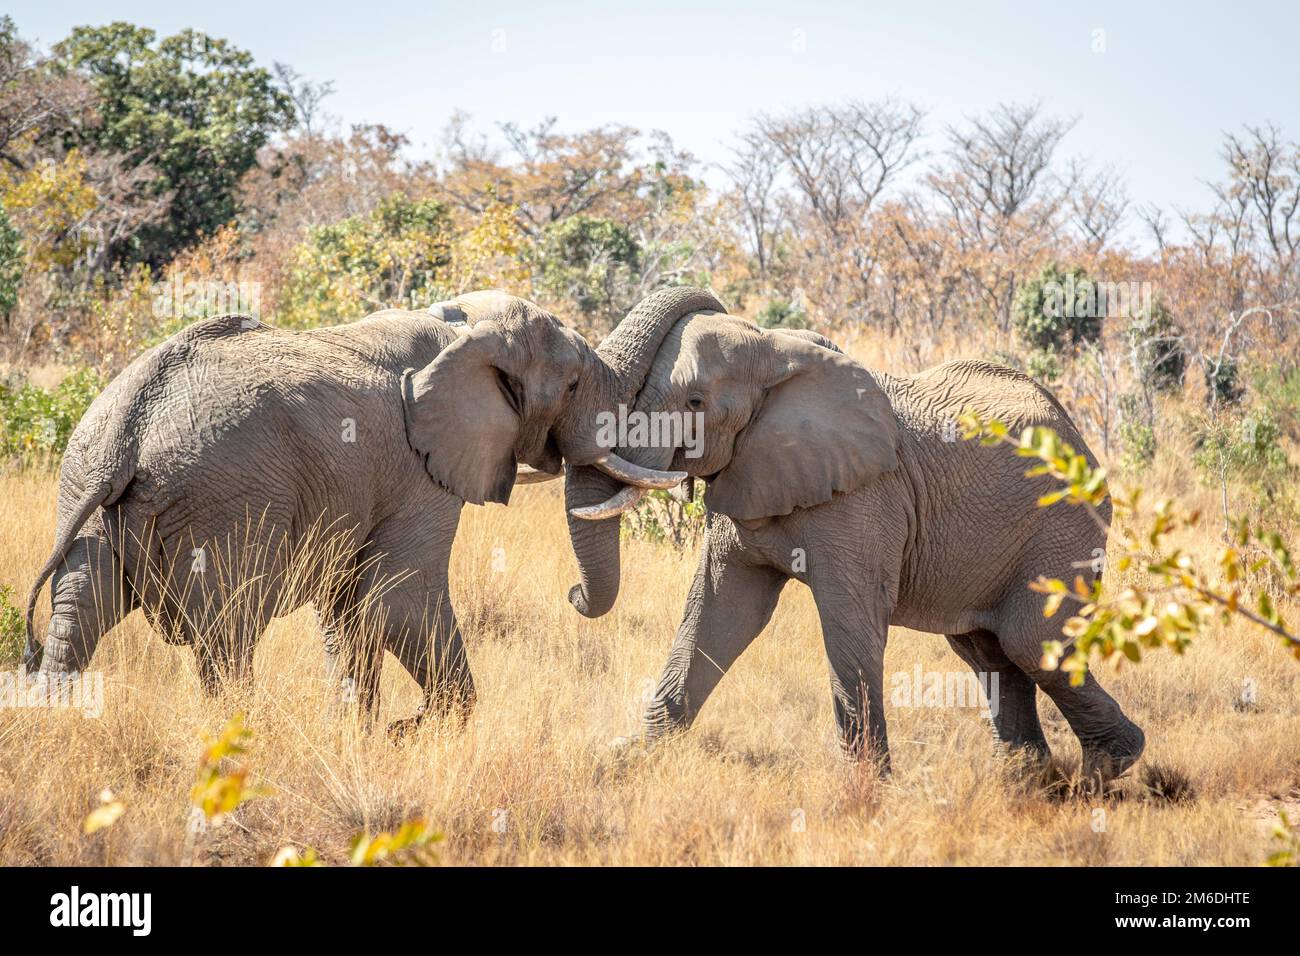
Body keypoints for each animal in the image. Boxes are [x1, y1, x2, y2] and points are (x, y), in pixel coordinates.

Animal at [23, 291, 686, 730]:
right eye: (572, 386)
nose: (573, 595)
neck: (461, 322)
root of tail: (131, 420)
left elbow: (350, 609)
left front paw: (361, 733)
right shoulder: (419, 467)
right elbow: (398, 600)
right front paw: (412, 731)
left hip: (82, 483)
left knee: (78, 611)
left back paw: (58, 720)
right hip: (225, 501)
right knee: (229, 633)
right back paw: (237, 735)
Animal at [563, 289, 1146, 780]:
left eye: (695, 403)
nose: (573, 595)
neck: (775, 351)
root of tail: (1078, 436)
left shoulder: (865, 500)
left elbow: (849, 617)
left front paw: (867, 789)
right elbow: (722, 610)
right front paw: (635, 755)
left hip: (1062, 529)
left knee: (1031, 642)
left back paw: (1106, 770)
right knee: (988, 652)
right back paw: (1026, 781)